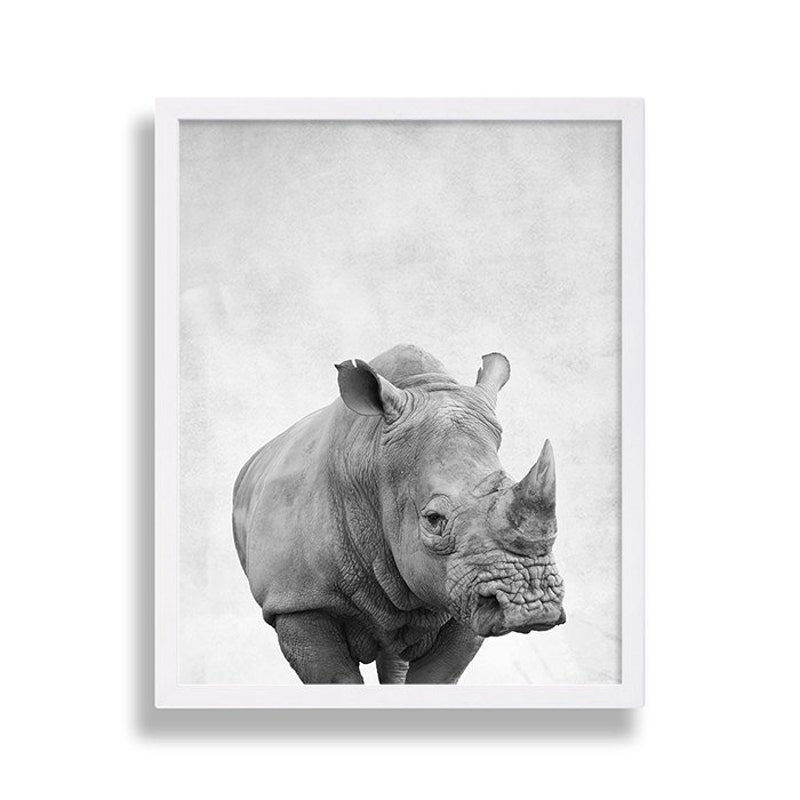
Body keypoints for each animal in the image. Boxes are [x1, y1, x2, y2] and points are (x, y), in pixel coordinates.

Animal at [232, 345, 565, 684]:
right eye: (433, 519)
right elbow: (336, 677)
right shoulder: (298, 599)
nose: (534, 605)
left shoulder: (461, 597)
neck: (371, 456)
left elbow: (436, 676)